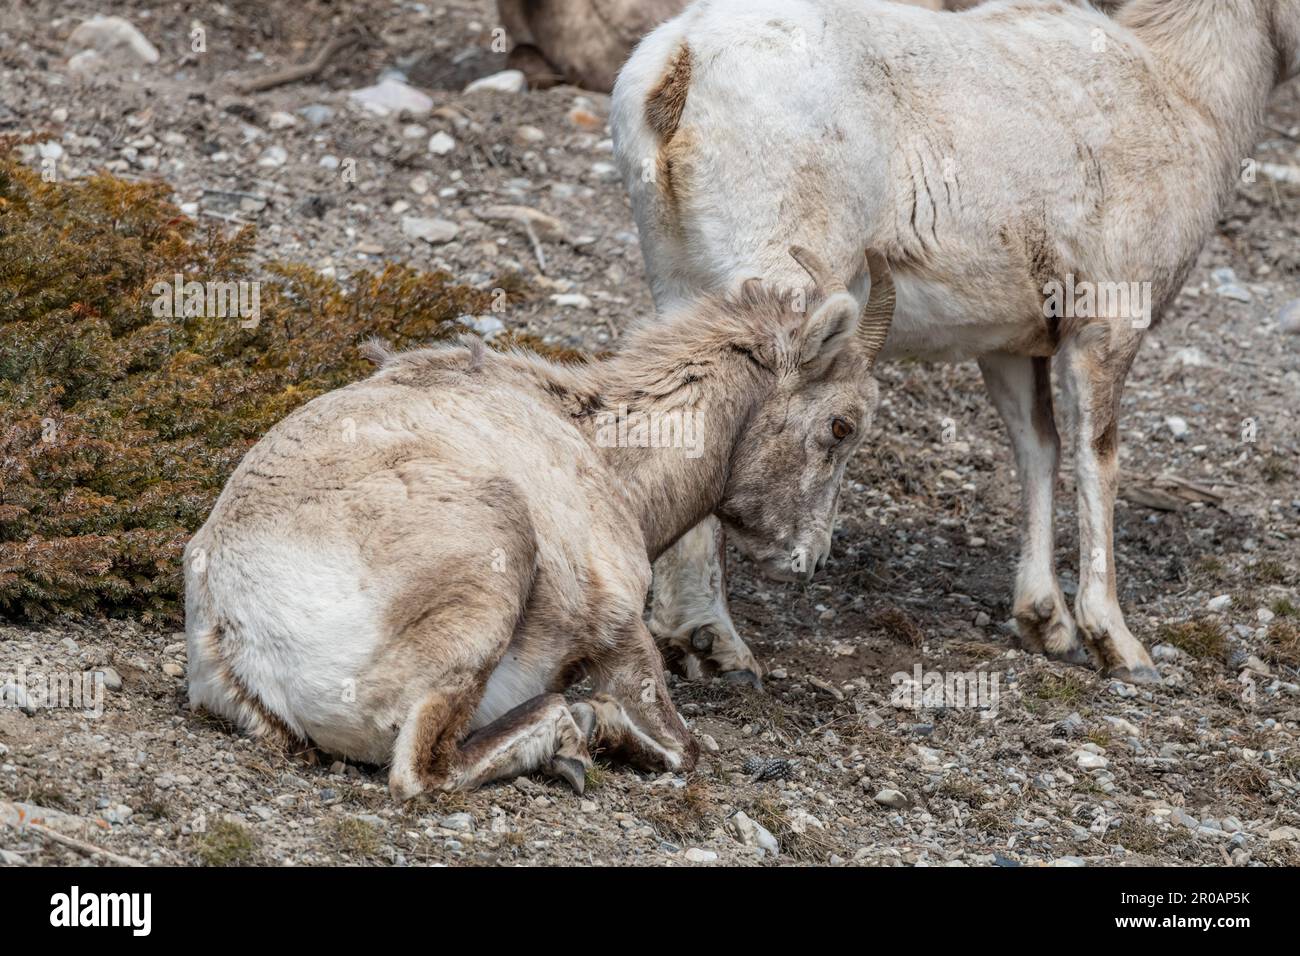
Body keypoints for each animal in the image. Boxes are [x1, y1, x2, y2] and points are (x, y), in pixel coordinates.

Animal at [184, 249, 895, 799]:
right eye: (841, 426)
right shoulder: (621, 627)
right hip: (487, 582)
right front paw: (599, 725)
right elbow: (681, 749)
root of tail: (237, 624)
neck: (601, 451)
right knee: (422, 771)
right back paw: (570, 739)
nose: (809, 558)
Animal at [611, 0, 1300, 684]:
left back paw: (700, 643)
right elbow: (1096, 459)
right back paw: (723, 647)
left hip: (679, 283)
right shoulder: (1108, 325)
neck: (1183, 91)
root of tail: (681, 57)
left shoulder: (1011, 347)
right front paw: (1119, 648)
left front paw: (1047, 626)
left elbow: (1038, 450)